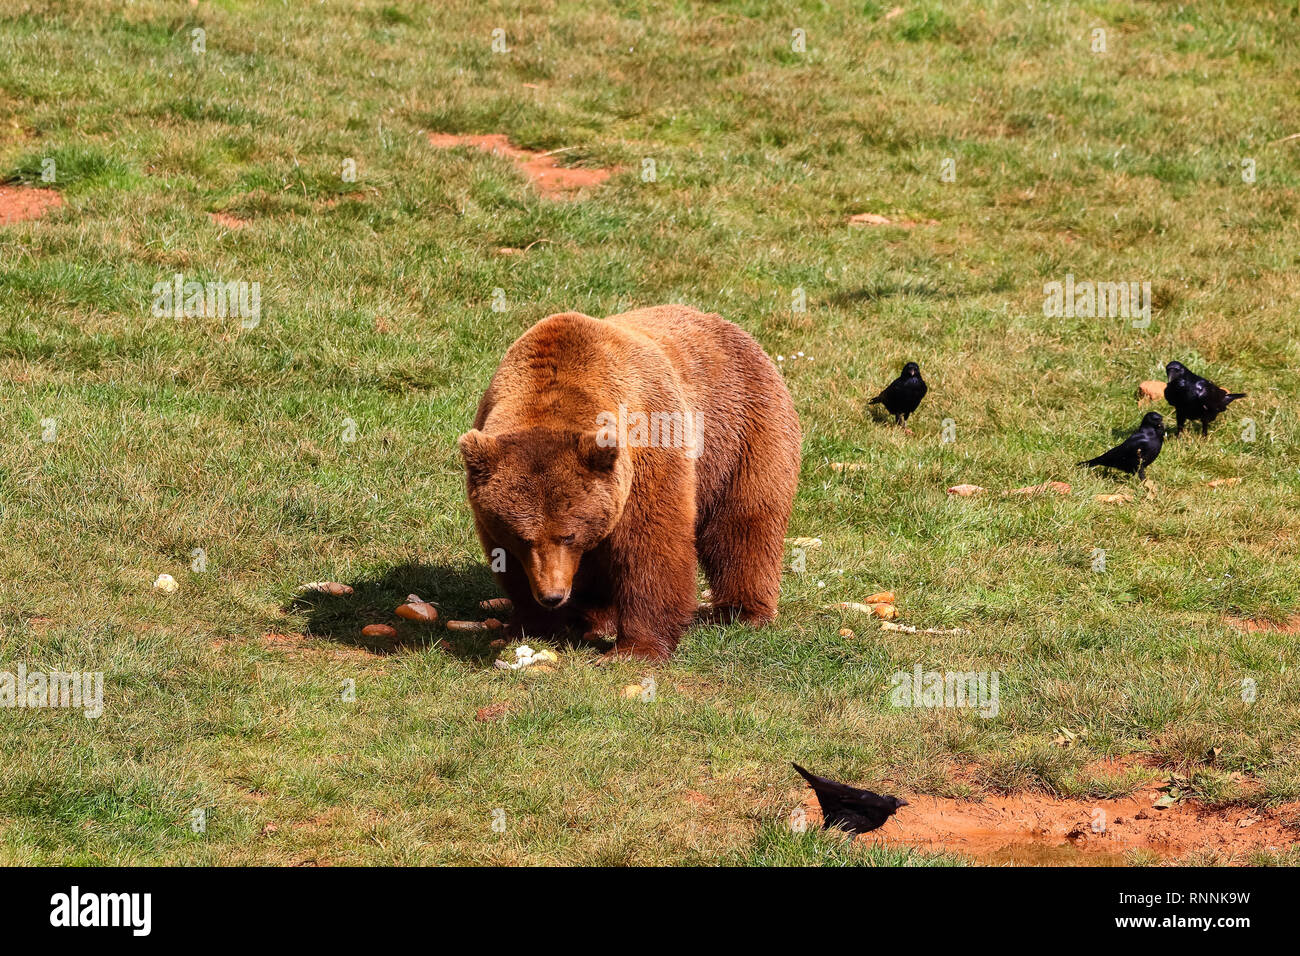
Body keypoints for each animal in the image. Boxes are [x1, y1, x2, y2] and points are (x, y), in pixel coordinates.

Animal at [458, 305, 801, 660]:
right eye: (523, 537)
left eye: (568, 535)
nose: (552, 595)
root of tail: (735, 329)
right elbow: (511, 563)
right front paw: (530, 624)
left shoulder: (647, 452)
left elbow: (650, 549)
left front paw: (635, 648)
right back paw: (595, 618)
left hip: (739, 436)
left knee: (744, 525)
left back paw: (742, 611)